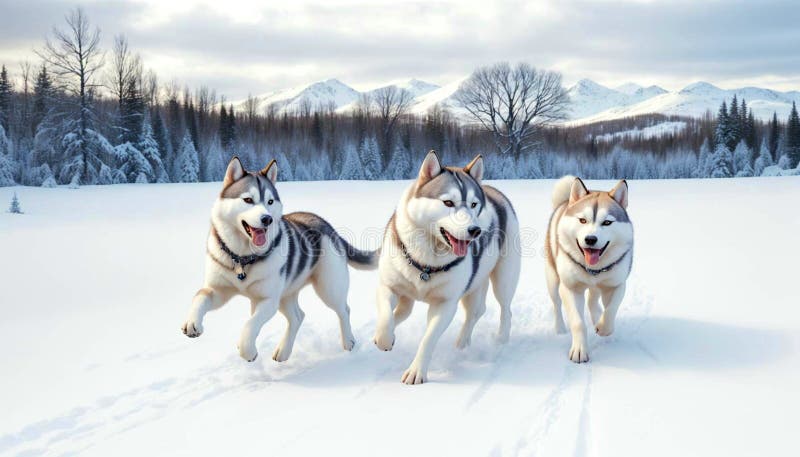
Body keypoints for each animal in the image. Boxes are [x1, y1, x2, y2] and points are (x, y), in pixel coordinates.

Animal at [181, 157, 377, 363]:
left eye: (270, 201)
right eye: (248, 200)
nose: (267, 219)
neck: (243, 258)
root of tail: (327, 225)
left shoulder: (268, 300)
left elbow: (250, 325)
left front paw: (247, 350)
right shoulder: (217, 290)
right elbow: (199, 298)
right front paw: (193, 323)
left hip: (329, 288)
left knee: (343, 310)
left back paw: (348, 341)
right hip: (287, 293)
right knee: (298, 317)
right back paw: (283, 351)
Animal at [373, 151, 521, 384]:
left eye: (473, 204)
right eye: (448, 202)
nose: (475, 230)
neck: (427, 263)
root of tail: (497, 192)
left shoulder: (445, 303)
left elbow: (428, 339)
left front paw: (416, 371)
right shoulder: (389, 286)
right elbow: (387, 317)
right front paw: (384, 339)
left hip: (503, 279)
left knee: (504, 309)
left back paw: (499, 340)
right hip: (472, 284)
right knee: (474, 311)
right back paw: (461, 344)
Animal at [545, 176, 633, 363]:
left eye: (607, 222)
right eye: (582, 220)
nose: (590, 239)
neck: (593, 270)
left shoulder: (616, 284)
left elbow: (611, 310)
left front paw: (603, 327)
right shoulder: (570, 288)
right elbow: (578, 322)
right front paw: (579, 350)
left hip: (597, 286)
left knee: (592, 300)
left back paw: (596, 317)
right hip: (553, 279)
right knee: (556, 304)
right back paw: (560, 328)